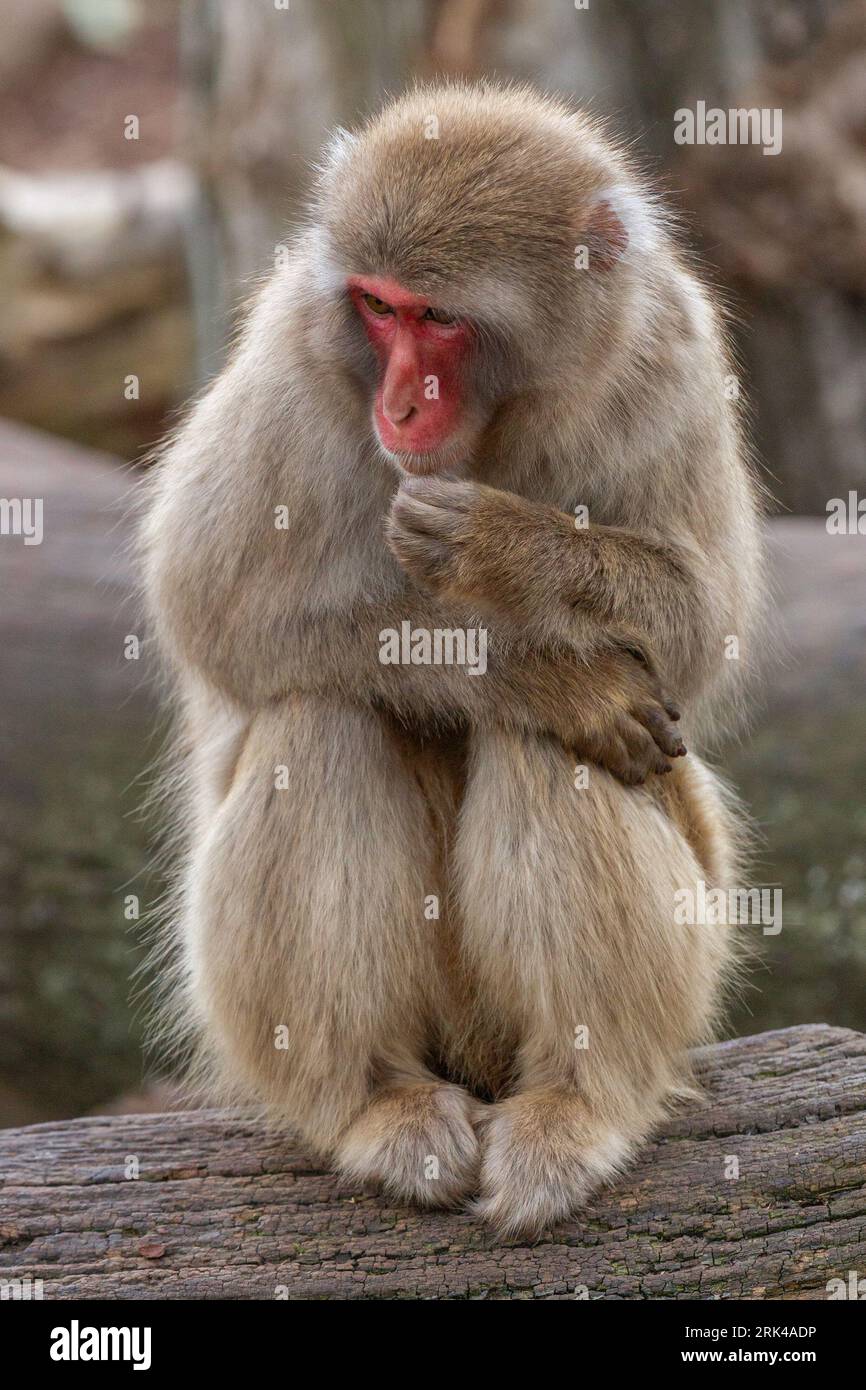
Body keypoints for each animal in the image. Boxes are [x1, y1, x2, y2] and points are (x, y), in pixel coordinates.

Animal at [140, 81, 763, 1238]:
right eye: (377, 308)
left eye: (439, 318)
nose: (397, 404)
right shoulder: (296, 351)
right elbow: (212, 602)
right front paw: (542, 670)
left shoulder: (670, 347)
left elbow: (704, 621)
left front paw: (506, 551)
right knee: (323, 717)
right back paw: (376, 1101)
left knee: (556, 755)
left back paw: (577, 1101)